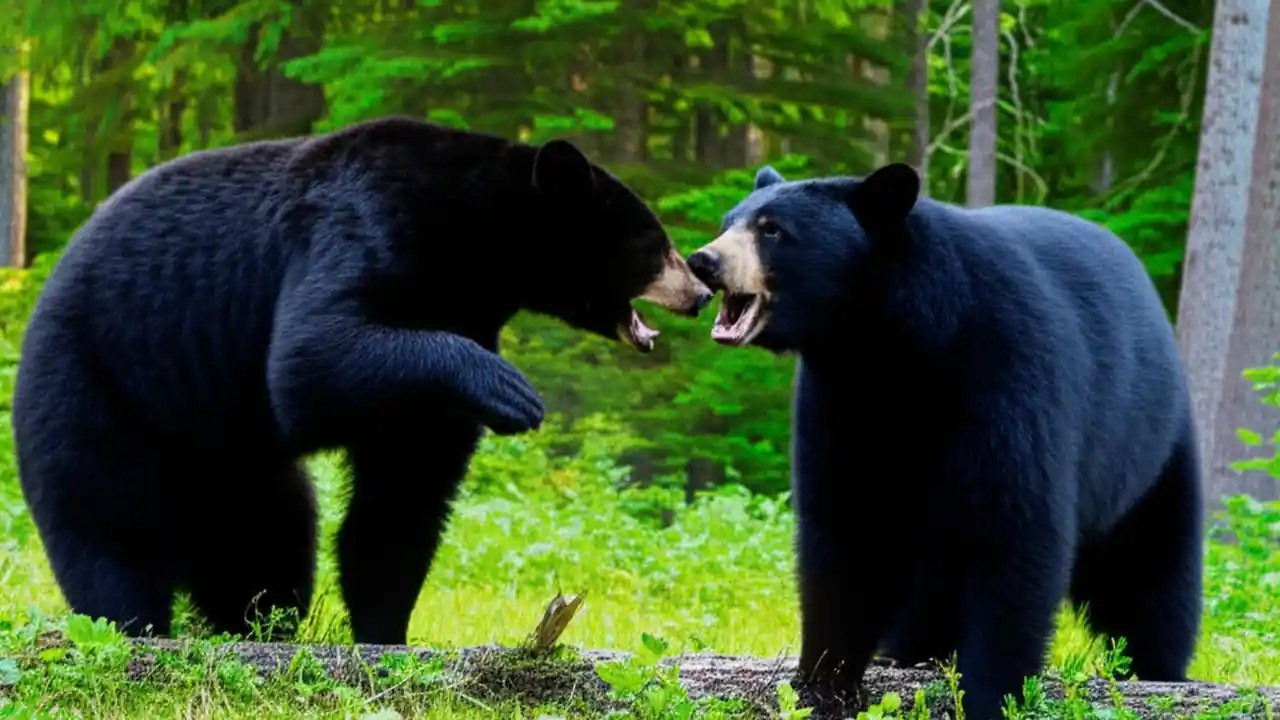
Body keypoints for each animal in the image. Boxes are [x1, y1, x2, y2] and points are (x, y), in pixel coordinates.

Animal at [12, 116, 712, 645]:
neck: (474, 246)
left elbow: (403, 495)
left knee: (266, 543)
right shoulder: (367, 222)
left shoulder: (456, 318)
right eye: (656, 243)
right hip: (98, 387)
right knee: (108, 530)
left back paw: (257, 625)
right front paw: (512, 392)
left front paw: (386, 632)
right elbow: (311, 357)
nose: (702, 291)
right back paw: (137, 626)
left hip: (235, 466)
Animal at [685, 162, 1203, 720]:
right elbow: (846, 527)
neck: (894, 343)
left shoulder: (1007, 368)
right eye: (728, 221)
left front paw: (989, 693)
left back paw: (1155, 668)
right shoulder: (839, 402)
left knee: (1149, 570)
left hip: (1152, 449)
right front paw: (824, 684)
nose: (704, 260)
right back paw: (912, 649)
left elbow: (1015, 531)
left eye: (773, 230)